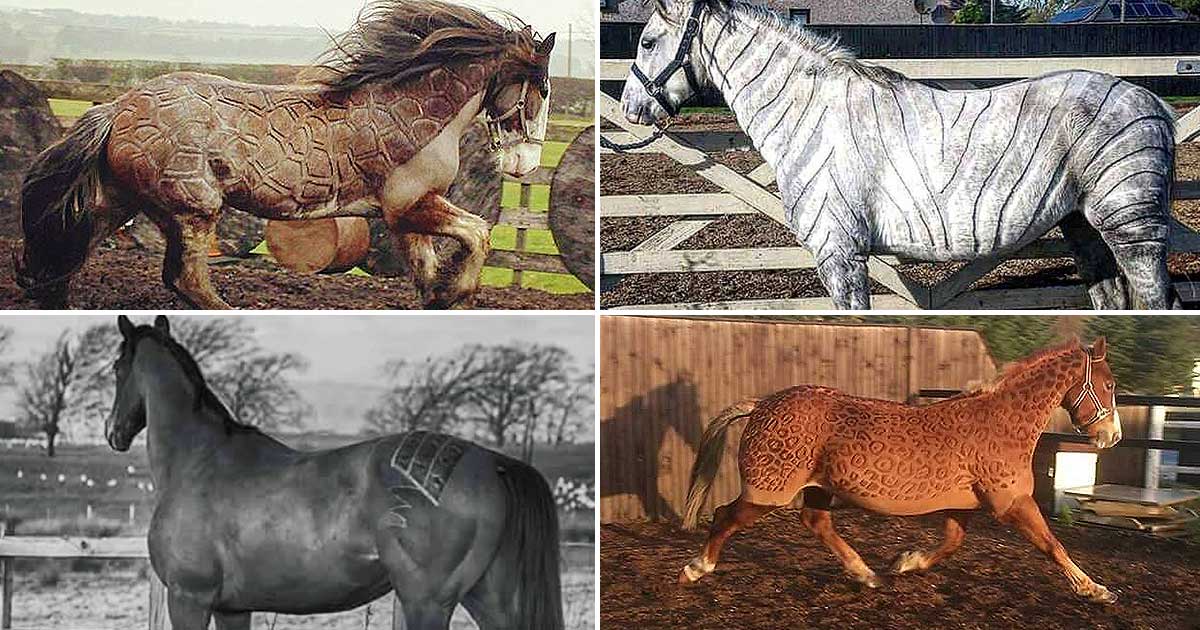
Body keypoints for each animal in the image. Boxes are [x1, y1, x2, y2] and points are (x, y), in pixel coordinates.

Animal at [18, 0, 555, 310]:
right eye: (544, 89)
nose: (525, 165)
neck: (411, 109)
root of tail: (118, 107)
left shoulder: (405, 214)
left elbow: (426, 270)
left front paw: (442, 293)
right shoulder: (410, 204)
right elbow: (479, 232)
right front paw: (459, 289)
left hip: (124, 201)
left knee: (77, 242)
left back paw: (49, 295)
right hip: (194, 208)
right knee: (185, 279)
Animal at [104, 315, 563, 630]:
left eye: (115, 368)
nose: (113, 432)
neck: (198, 459)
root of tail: (491, 462)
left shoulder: (189, 598)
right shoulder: (233, 608)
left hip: (427, 603)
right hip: (490, 597)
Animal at [620, 0, 1177, 310]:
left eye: (647, 41)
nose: (630, 108)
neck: (810, 113)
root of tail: (1153, 103)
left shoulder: (839, 251)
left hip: (1132, 231)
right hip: (1083, 225)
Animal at [677, 337, 1123, 604]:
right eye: (1110, 385)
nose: (1112, 436)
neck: (1000, 420)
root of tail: (761, 405)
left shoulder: (962, 506)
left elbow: (951, 544)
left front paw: (906, 562)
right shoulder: (1012, 502)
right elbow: (1053, 545)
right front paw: (1096, 589)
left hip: (817, 487)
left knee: (816, 522)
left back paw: (868, 575)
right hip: (769, 492)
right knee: (725, 516)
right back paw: (696, 569)